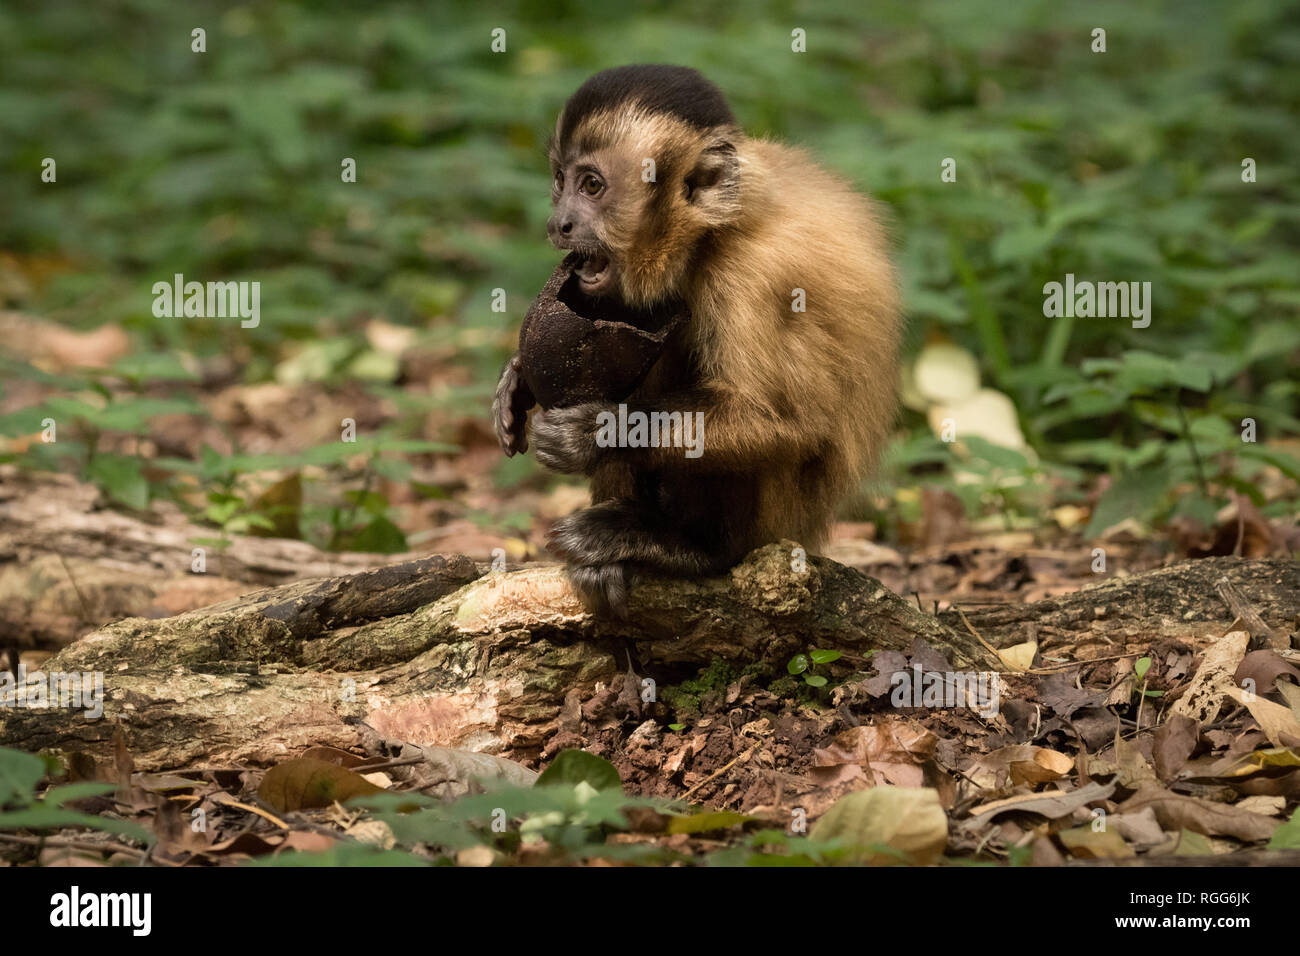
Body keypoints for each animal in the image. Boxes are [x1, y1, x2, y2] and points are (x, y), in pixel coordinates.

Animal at [493, 64, 901, 617]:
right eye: (560, 181)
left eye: (592, 185)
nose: (559, 222)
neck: (712, 233)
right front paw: (515, 381)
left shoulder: (755, 278)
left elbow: (783, 422)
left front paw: (593, 432)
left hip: (776, 526)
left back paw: (689, 546)